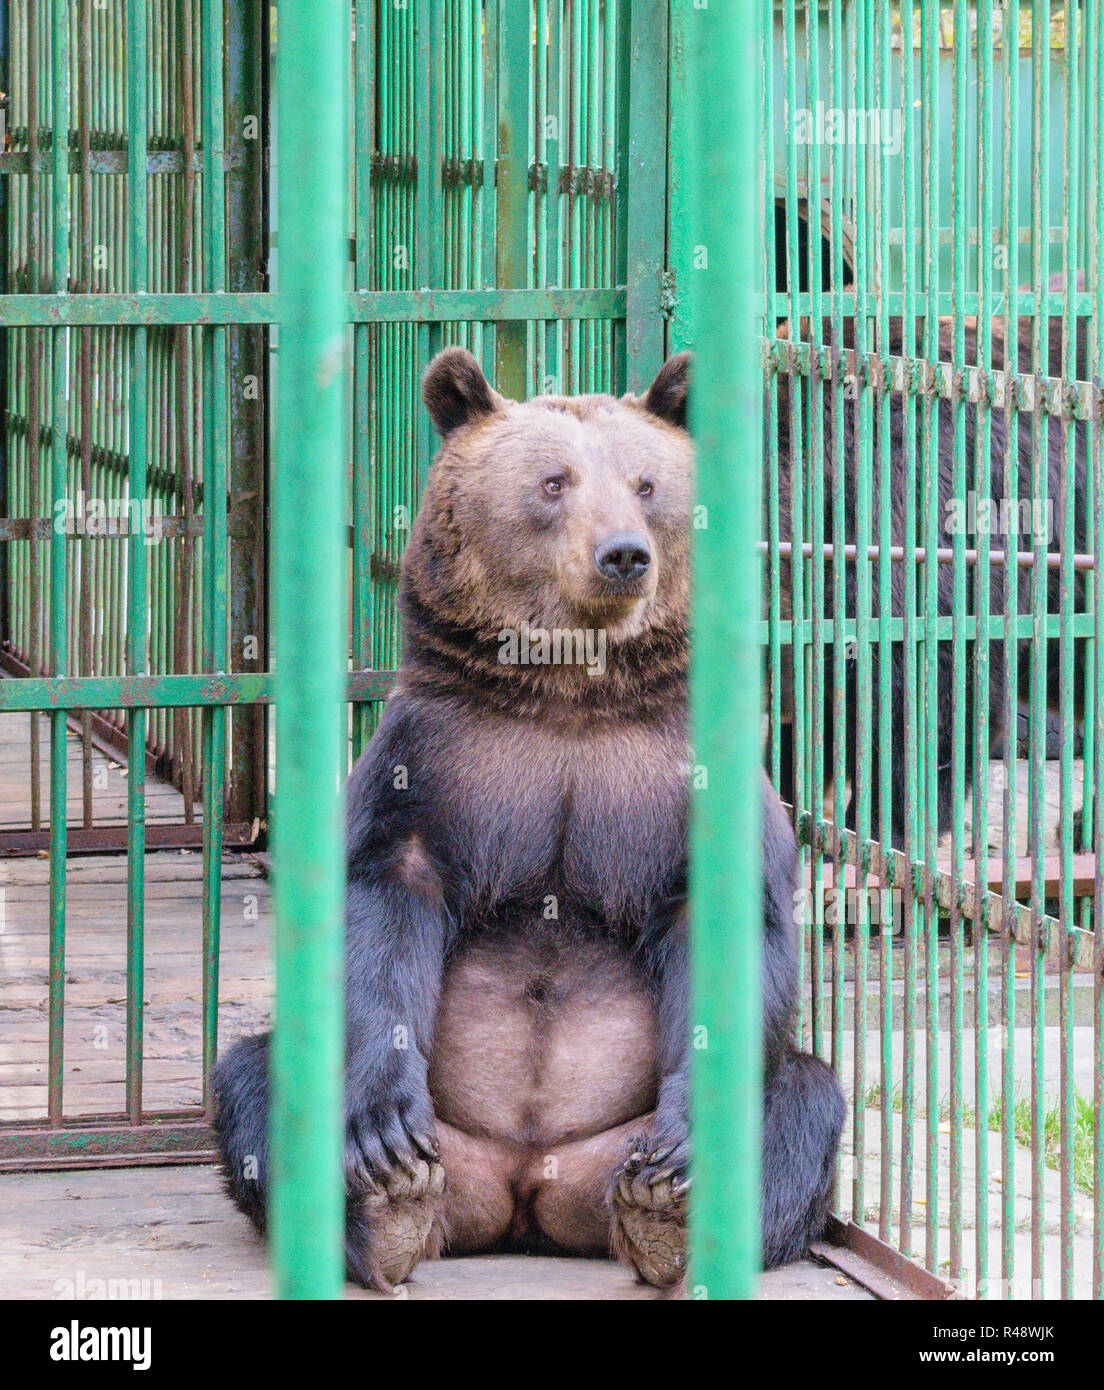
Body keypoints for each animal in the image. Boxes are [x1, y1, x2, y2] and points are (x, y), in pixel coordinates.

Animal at [213, 348, 846, 1292]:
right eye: (554, 481)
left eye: (647, 482)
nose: (624, 554)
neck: (568, 696)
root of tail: (526, 1195)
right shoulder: (437, 765)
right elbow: (380, 908)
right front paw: (384, 1142)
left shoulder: (684, 782)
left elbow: (732, 930)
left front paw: (680, 1161)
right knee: (254, 1077)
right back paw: (388, 1214)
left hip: (624, 1147)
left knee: (806, 1103)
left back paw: (662, 1218)